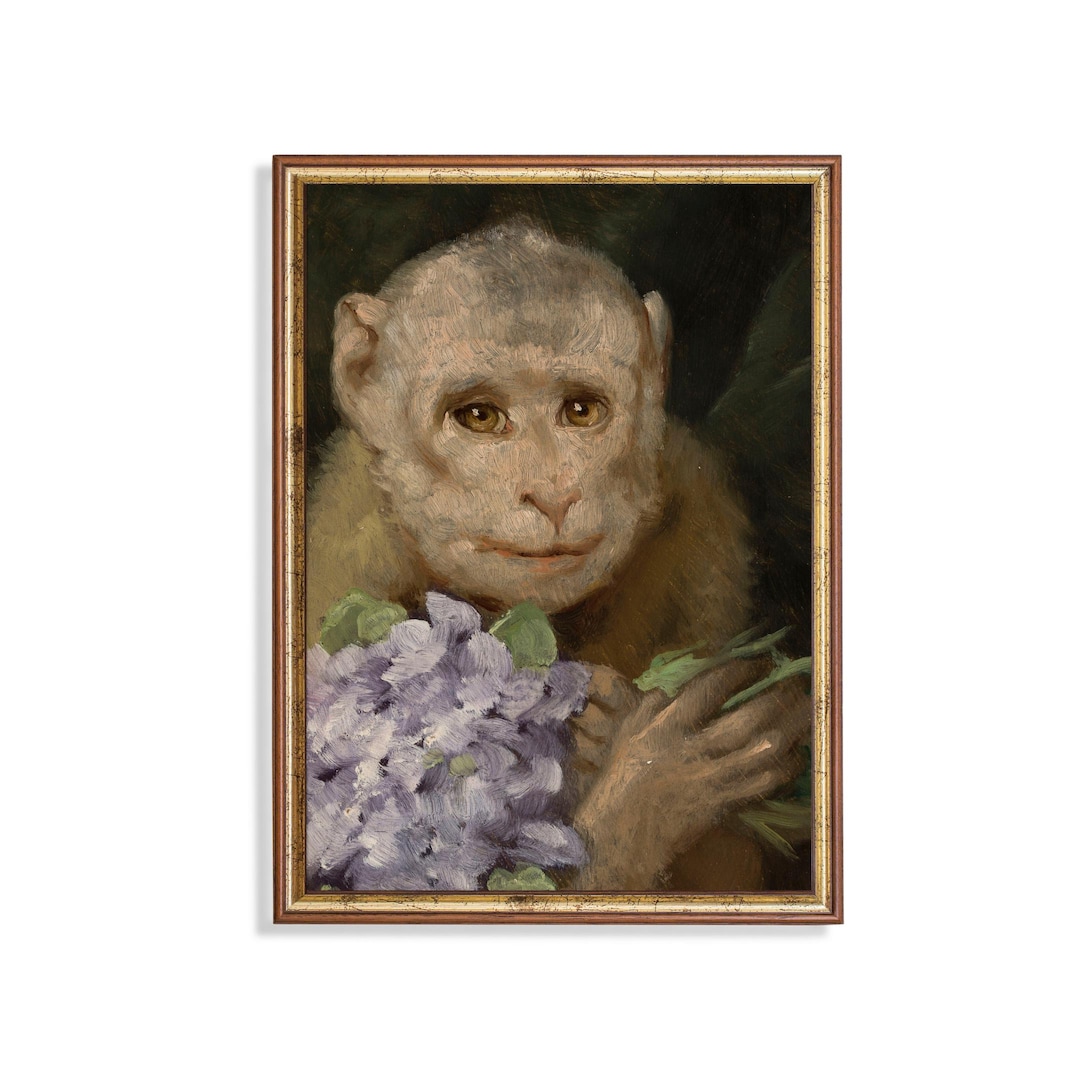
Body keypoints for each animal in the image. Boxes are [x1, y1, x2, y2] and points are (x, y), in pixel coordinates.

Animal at [305, 222, 811, 892]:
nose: (552, 492)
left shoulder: (701, 514)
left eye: (581, 410)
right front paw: (650, 782)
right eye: (479, 416)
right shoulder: (346, 542)